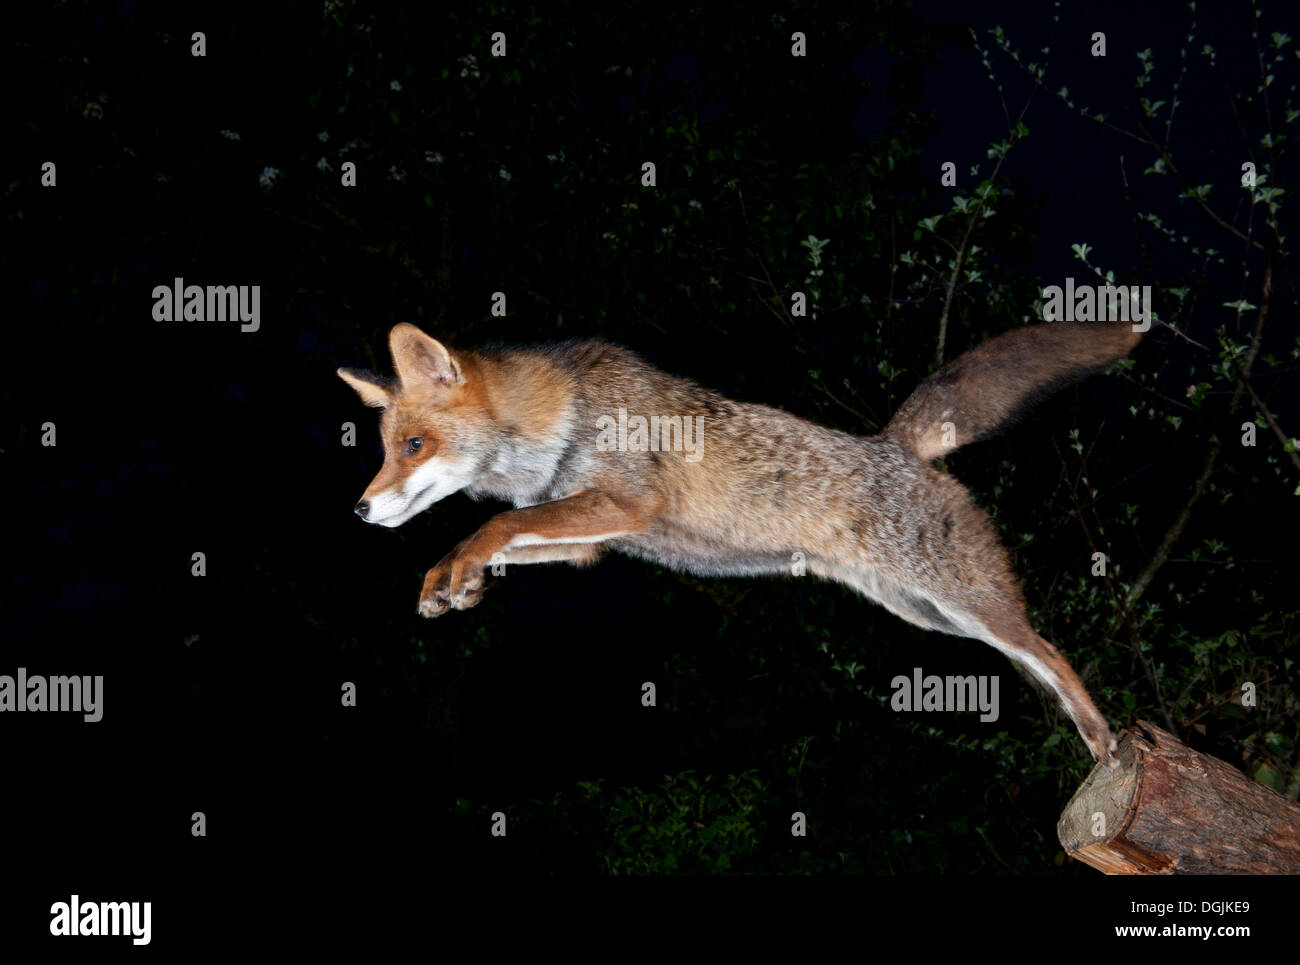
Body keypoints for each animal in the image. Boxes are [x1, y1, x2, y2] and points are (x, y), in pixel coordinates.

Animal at [338, 321, 1142, 767]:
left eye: (414, 445)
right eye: (385, 448)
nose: (361, 509)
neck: (564, 418)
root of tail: (893, 445)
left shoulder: (626, 501)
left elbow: (491, 525)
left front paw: (457, 568)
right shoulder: (593, 537)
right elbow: (497, 538)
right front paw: (454, 580)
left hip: (963, 601)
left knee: (1053, 652)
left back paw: (1104, 738)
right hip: (930, 615)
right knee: (1031, 657)